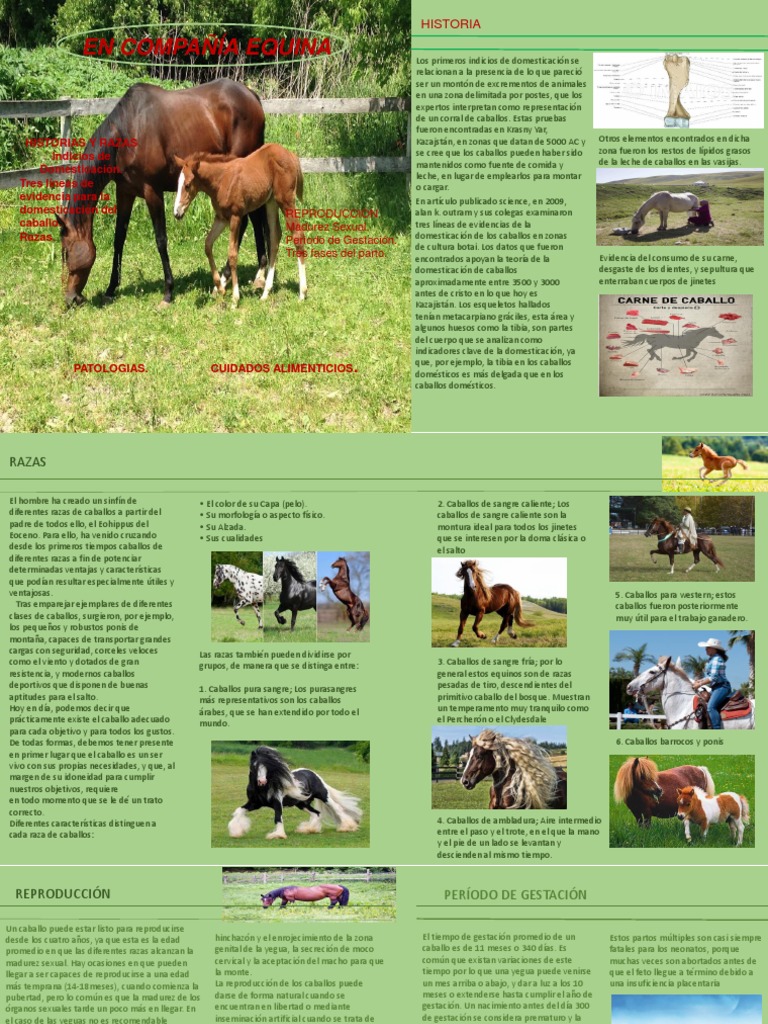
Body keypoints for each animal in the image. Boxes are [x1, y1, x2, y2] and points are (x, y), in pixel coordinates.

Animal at [56, 78, 267, 307]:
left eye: (66, 252)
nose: (70, 298)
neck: (127, 131)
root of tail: (251, 96)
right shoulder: (125, 192)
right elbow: (119, 238)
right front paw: (111, 288)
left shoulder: (152, 191)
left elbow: (160, 239)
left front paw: (168, 292)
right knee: (255, 218)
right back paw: (256, 277)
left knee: (246, 222)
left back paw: (228, 279)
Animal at [173, 143, 306, 307]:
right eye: (177, 184)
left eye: (187, 185)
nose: (177, 212)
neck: (221, 181)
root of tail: (291, 155)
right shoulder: (221, 218)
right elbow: (208, 245)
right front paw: (220, 287)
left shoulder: (236, 217)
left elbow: (232, 254)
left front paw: (235, 299)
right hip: (271, 202)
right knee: (275, 237)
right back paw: (265, 293)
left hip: (286, 200)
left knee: (297, 235)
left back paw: (302, 293)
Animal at [227, 745, 361, 840]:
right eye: (254, 766)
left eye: (268, 766)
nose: (262, 781)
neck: (262, 789)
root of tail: (313, 773)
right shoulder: (254, 804)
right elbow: (238, 811)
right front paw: (236, 831)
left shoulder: (277, 803)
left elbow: (278, 818)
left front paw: (278, 835)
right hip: (301, 803)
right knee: (316, 813)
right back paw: (309, 829)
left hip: (323, 795)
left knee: (337, 808)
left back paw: (348, 827)